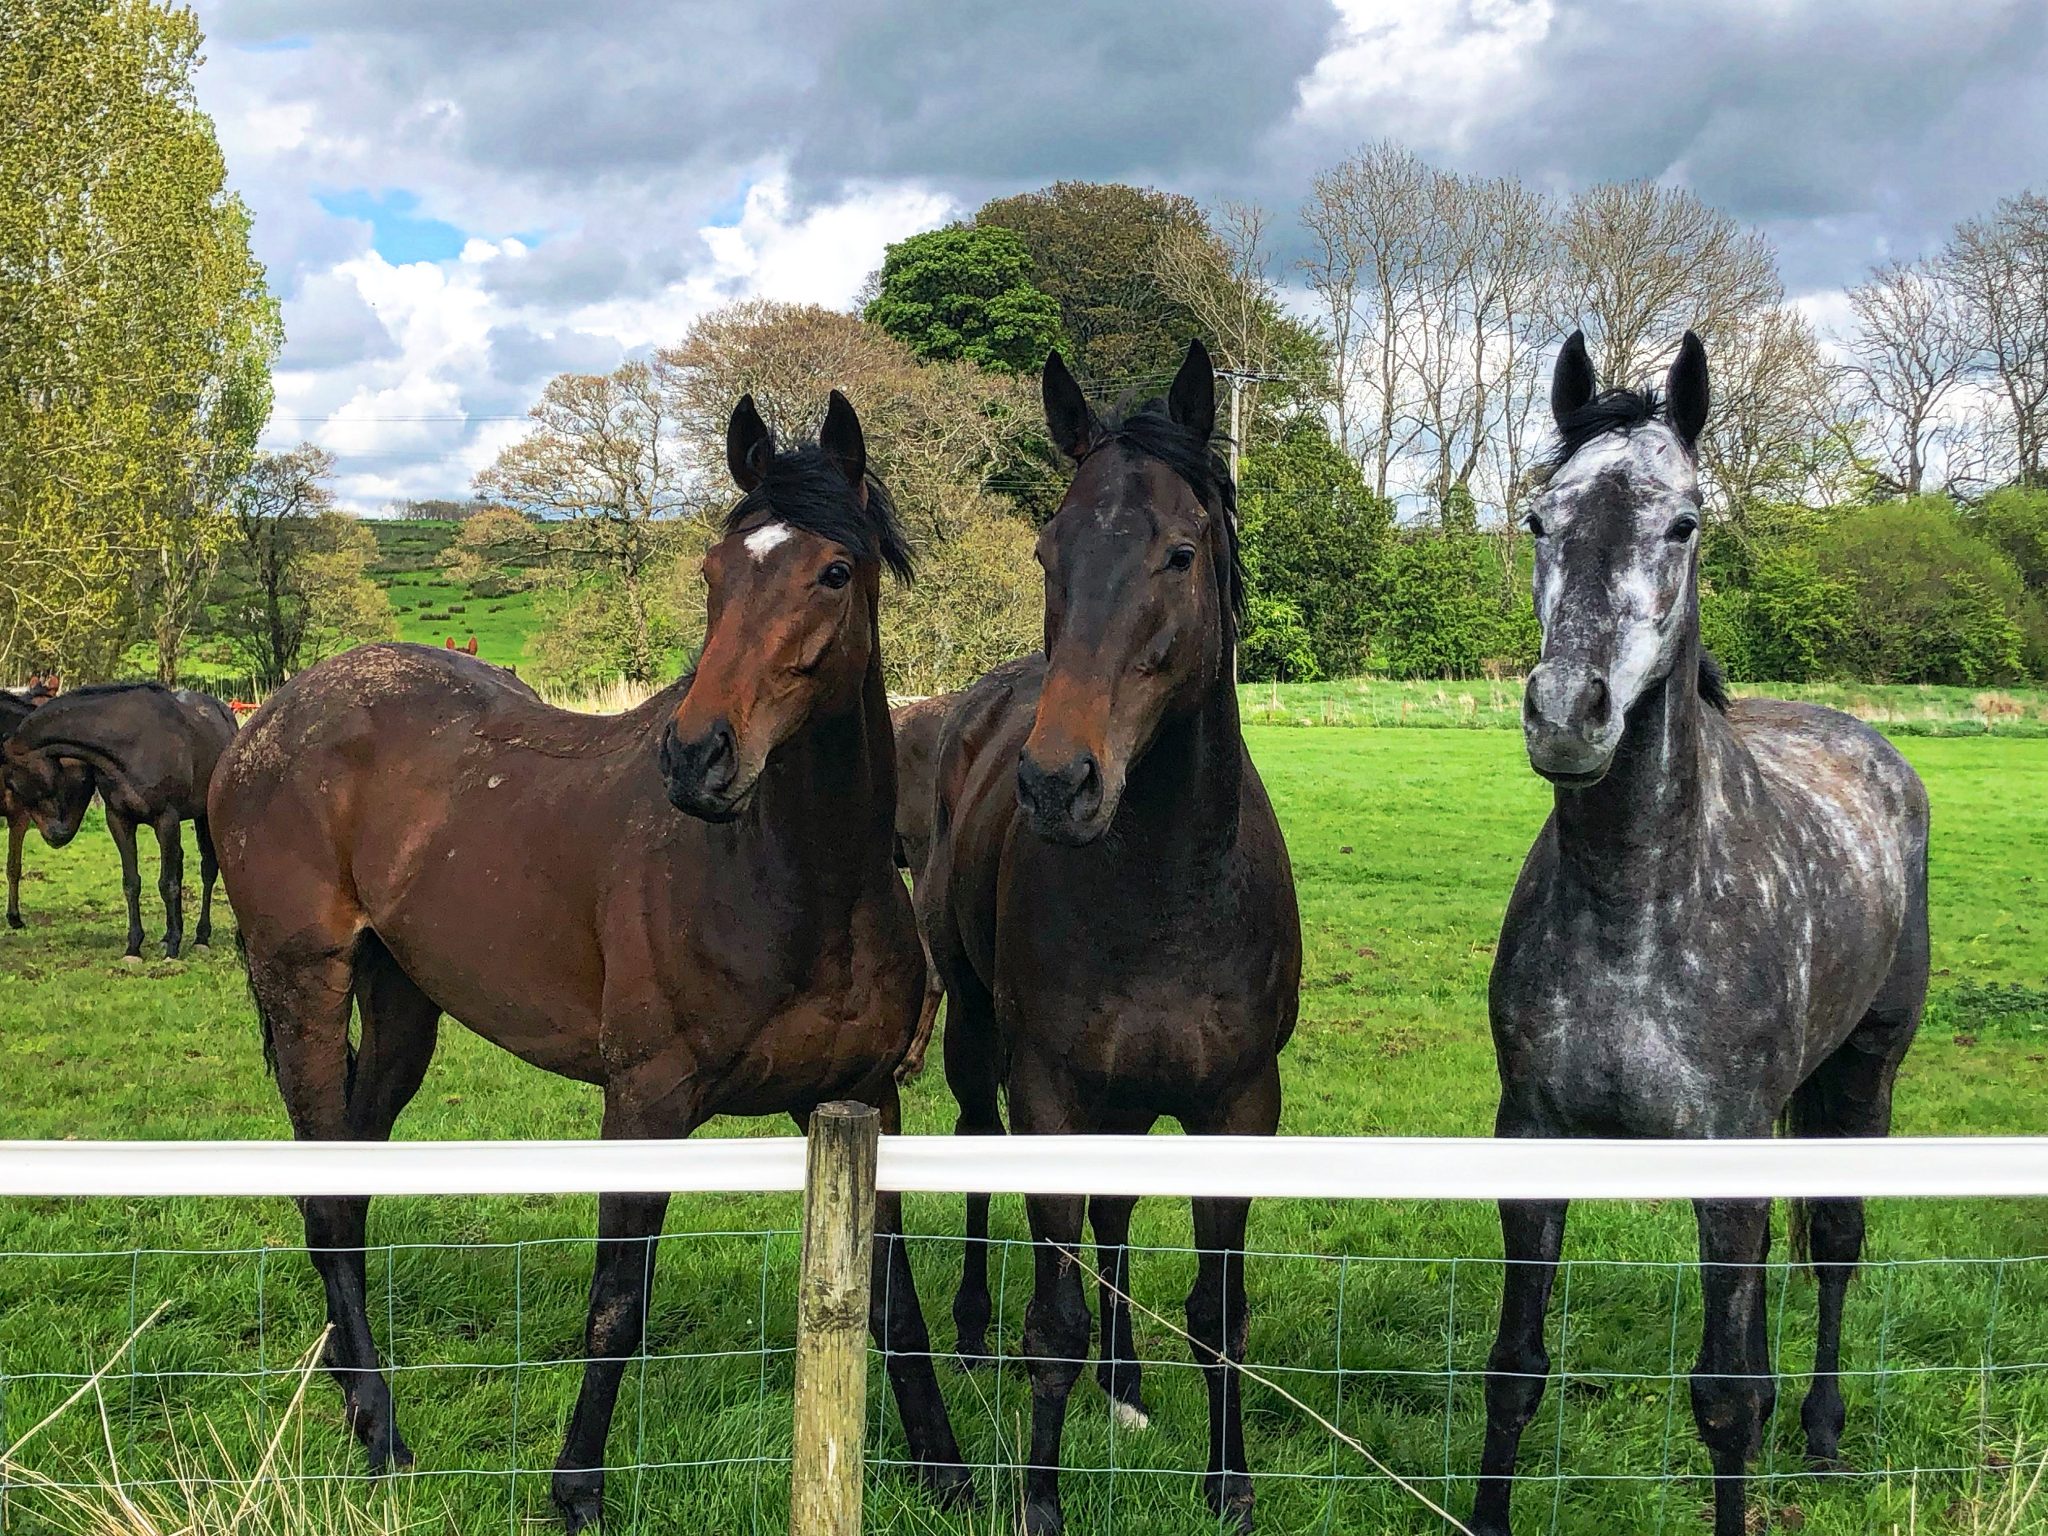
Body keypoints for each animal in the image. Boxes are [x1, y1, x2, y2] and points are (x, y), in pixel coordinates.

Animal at [2, 682, 234, 959]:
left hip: (203, 815)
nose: (55, 835)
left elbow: (168, 884)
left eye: (13, 782)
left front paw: (174, 948)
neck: (130, 744)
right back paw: (168, 936)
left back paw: (201, 937)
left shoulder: (166, 818)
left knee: (207, 869)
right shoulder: (119, 819)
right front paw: (134, 947)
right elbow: (132, 883)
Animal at [207, 391, 970, 1532]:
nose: (697, 758)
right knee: (331, 1201)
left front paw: (947, 1470)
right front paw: (575, 1485)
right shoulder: (645, 1105)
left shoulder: (862, 1101)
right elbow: (617, 1302)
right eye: (713, 570)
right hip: (303, 982)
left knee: (347, 1185)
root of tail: (268, 722)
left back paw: (350, 1392)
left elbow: (892, 1301)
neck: (799, 884)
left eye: (834, 572)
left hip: (402, 1007)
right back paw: (381, 1432)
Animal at [922, 340, 1302, 1536]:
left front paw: (1228, 1482)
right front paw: (1038, 1500)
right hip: (976, 1039)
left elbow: (1219, 1311)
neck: (1168, 897)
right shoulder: (1048, 1089)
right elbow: (1052, 1320)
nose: (1056, 782)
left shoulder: (1240, 1103)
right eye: (1049, 552)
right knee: (976, 1148)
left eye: (1179, 553)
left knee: (1118, 1216)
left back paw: (1126, 1380)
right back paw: (971, 1337)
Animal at [1472, 332, 1929, 1536]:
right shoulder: (1532, 1138)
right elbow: (1513, 1370)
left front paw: (1760, 1437)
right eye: (1538, 519)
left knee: (1833, 1249)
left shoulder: (1724, 1156)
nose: (1565, 714)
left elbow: (1721, 1401)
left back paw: (1820, 1435)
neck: (1635, 905)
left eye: (1681, 523)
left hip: (1863, 1075)